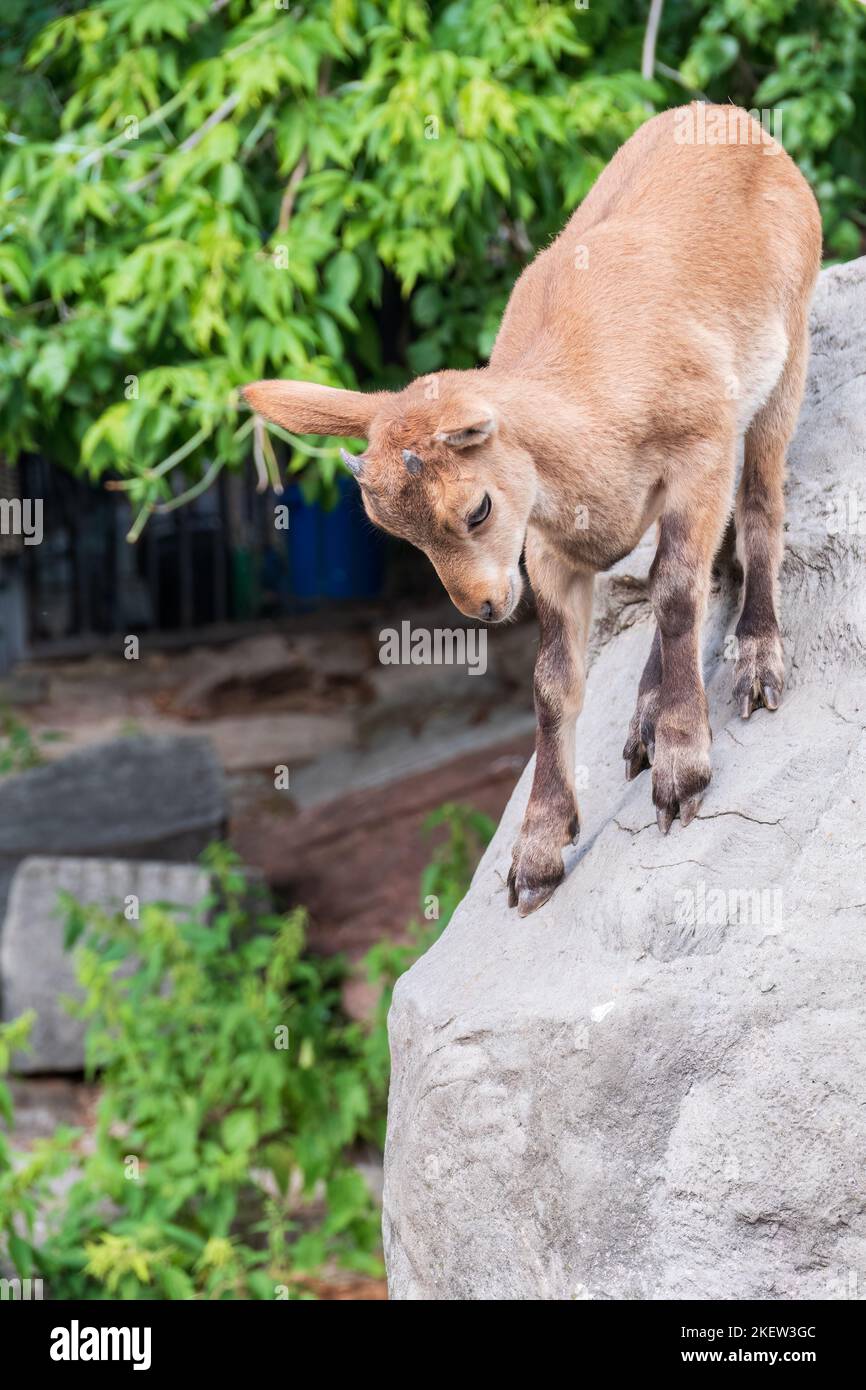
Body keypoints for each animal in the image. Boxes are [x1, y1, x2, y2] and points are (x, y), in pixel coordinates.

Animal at [244, 104, 822, 916]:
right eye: (395, 532)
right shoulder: (550, 547)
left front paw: (683, 769)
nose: (484, 606)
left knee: (761, 508)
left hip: (787, 355)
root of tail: (735, 120)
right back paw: (644, 716)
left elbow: (680, 591)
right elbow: (554, 679)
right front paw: (539, 854)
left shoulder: (700, 454)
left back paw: (756, 663)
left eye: (476, 507)